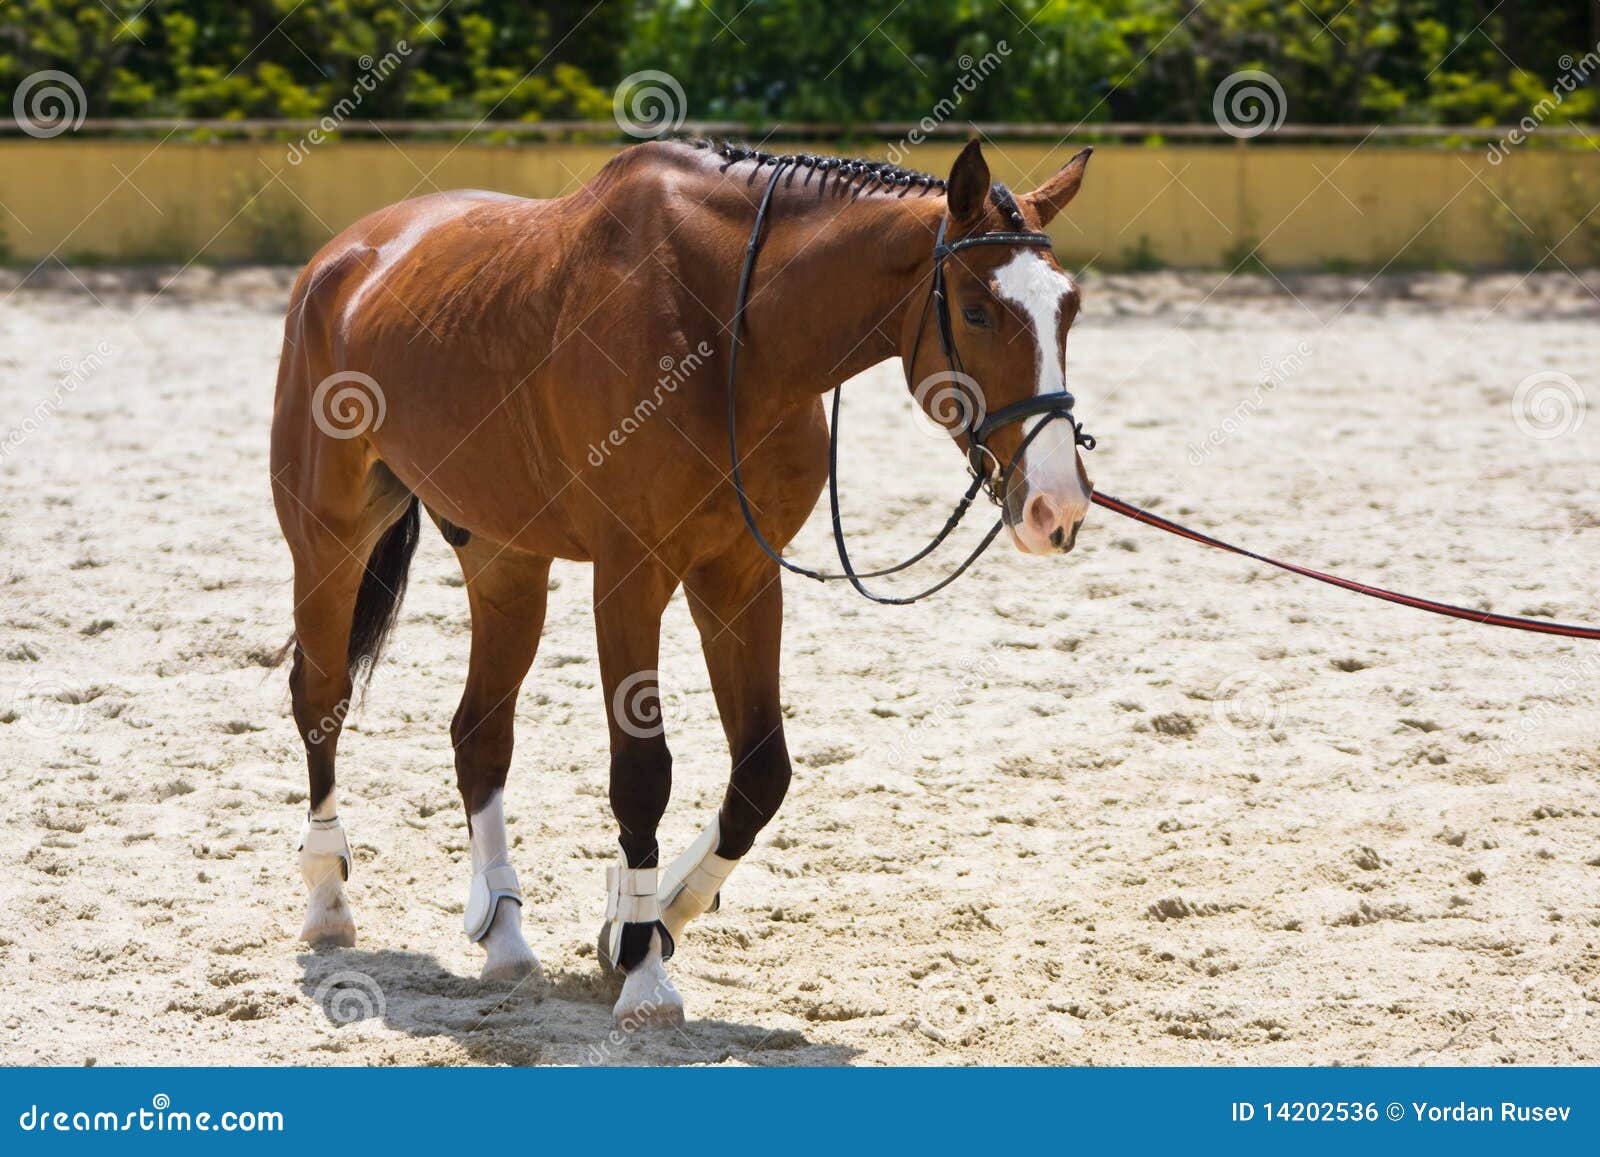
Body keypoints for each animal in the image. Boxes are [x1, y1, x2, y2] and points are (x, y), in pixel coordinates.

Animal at [269, 137, 1095, 1027]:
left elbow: (762, 773)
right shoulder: (630, 575)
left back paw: (505, 938)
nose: (1056, 505)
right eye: (976, 310)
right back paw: (328, 904)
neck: (729, 334)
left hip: (504, 560)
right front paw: (644, 972)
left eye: (1069, 309)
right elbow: (642, 773)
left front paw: (644, 921)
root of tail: (344, 257)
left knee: (479, 733)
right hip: (329, 538)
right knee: (320, 698)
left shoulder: (740, 573)